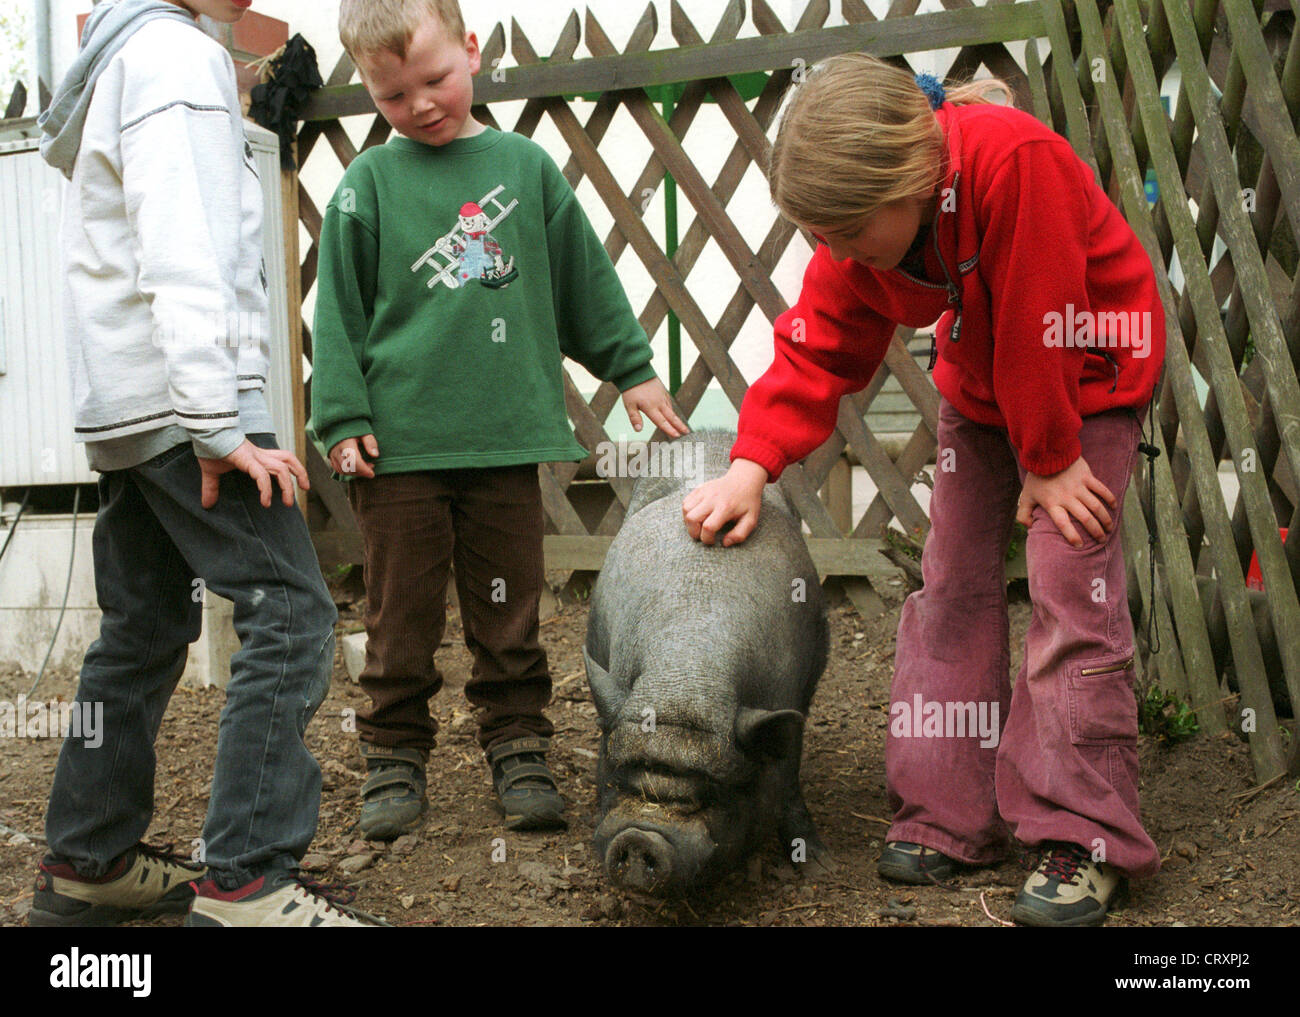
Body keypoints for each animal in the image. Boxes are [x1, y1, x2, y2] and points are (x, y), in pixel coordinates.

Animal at [583, 429, 831, 896]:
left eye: (712, 793)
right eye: (619, 775)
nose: (640, 838)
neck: (685, 675)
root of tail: (708, 432)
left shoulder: (791, 700)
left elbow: (789, 783)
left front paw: (820, 867)